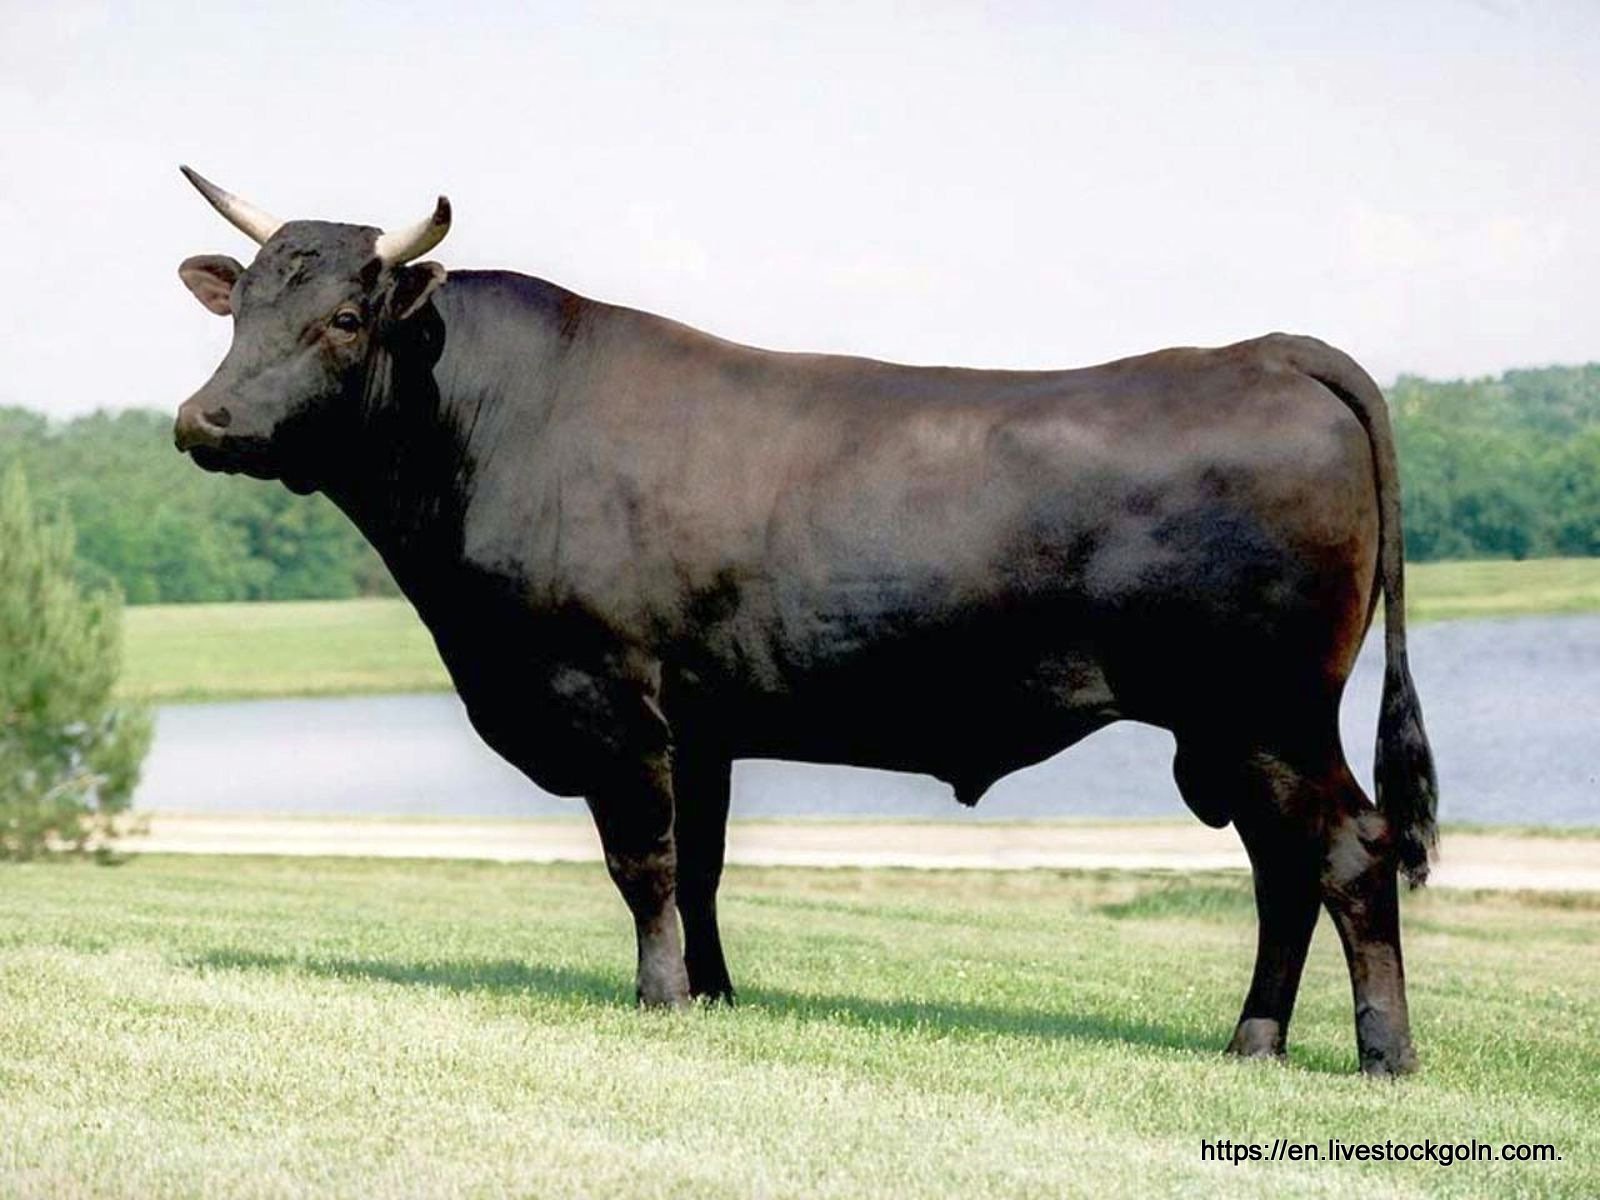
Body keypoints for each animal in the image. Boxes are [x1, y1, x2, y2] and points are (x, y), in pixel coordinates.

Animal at [173, 167, 1437, 1076]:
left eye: (346, 316)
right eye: (239, 311)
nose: (205, 420)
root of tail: (1265, 351)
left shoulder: (608, 699)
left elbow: (643, 861)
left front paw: (660, 999)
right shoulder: (699, 722)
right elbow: (700, 868)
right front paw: (717, 993)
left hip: (1267, 712)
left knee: (1349, 852)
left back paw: (1382, 1055)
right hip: (1232, 731)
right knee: (1283, 872)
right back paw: (1253, 1041)